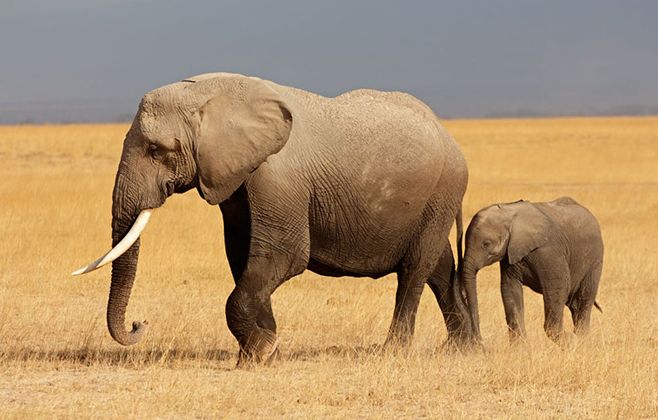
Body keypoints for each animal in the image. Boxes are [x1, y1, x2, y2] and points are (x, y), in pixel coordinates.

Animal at [73, 72, 473, 364]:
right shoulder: (234, 177)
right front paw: (263, 347)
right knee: (440, 266)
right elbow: (243, 257)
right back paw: (463, 347)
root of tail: (450, 137)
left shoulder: (277, 176)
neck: (212, 95)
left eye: (157, 150)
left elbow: (283, 255)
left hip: (442, 190)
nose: (139, 324)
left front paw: (259, 353)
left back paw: (393, 351)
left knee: (415, 269)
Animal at [460, 197, 604, 344]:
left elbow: (558, 287)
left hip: (595, 260)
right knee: (574, 304)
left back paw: (582, 339)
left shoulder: (549, 251)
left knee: (583, 300)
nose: (479, 340)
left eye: (486, 244)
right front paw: (520, 347)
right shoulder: (510, 254)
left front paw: (570, 340)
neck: (509, 213)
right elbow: (510, 290)